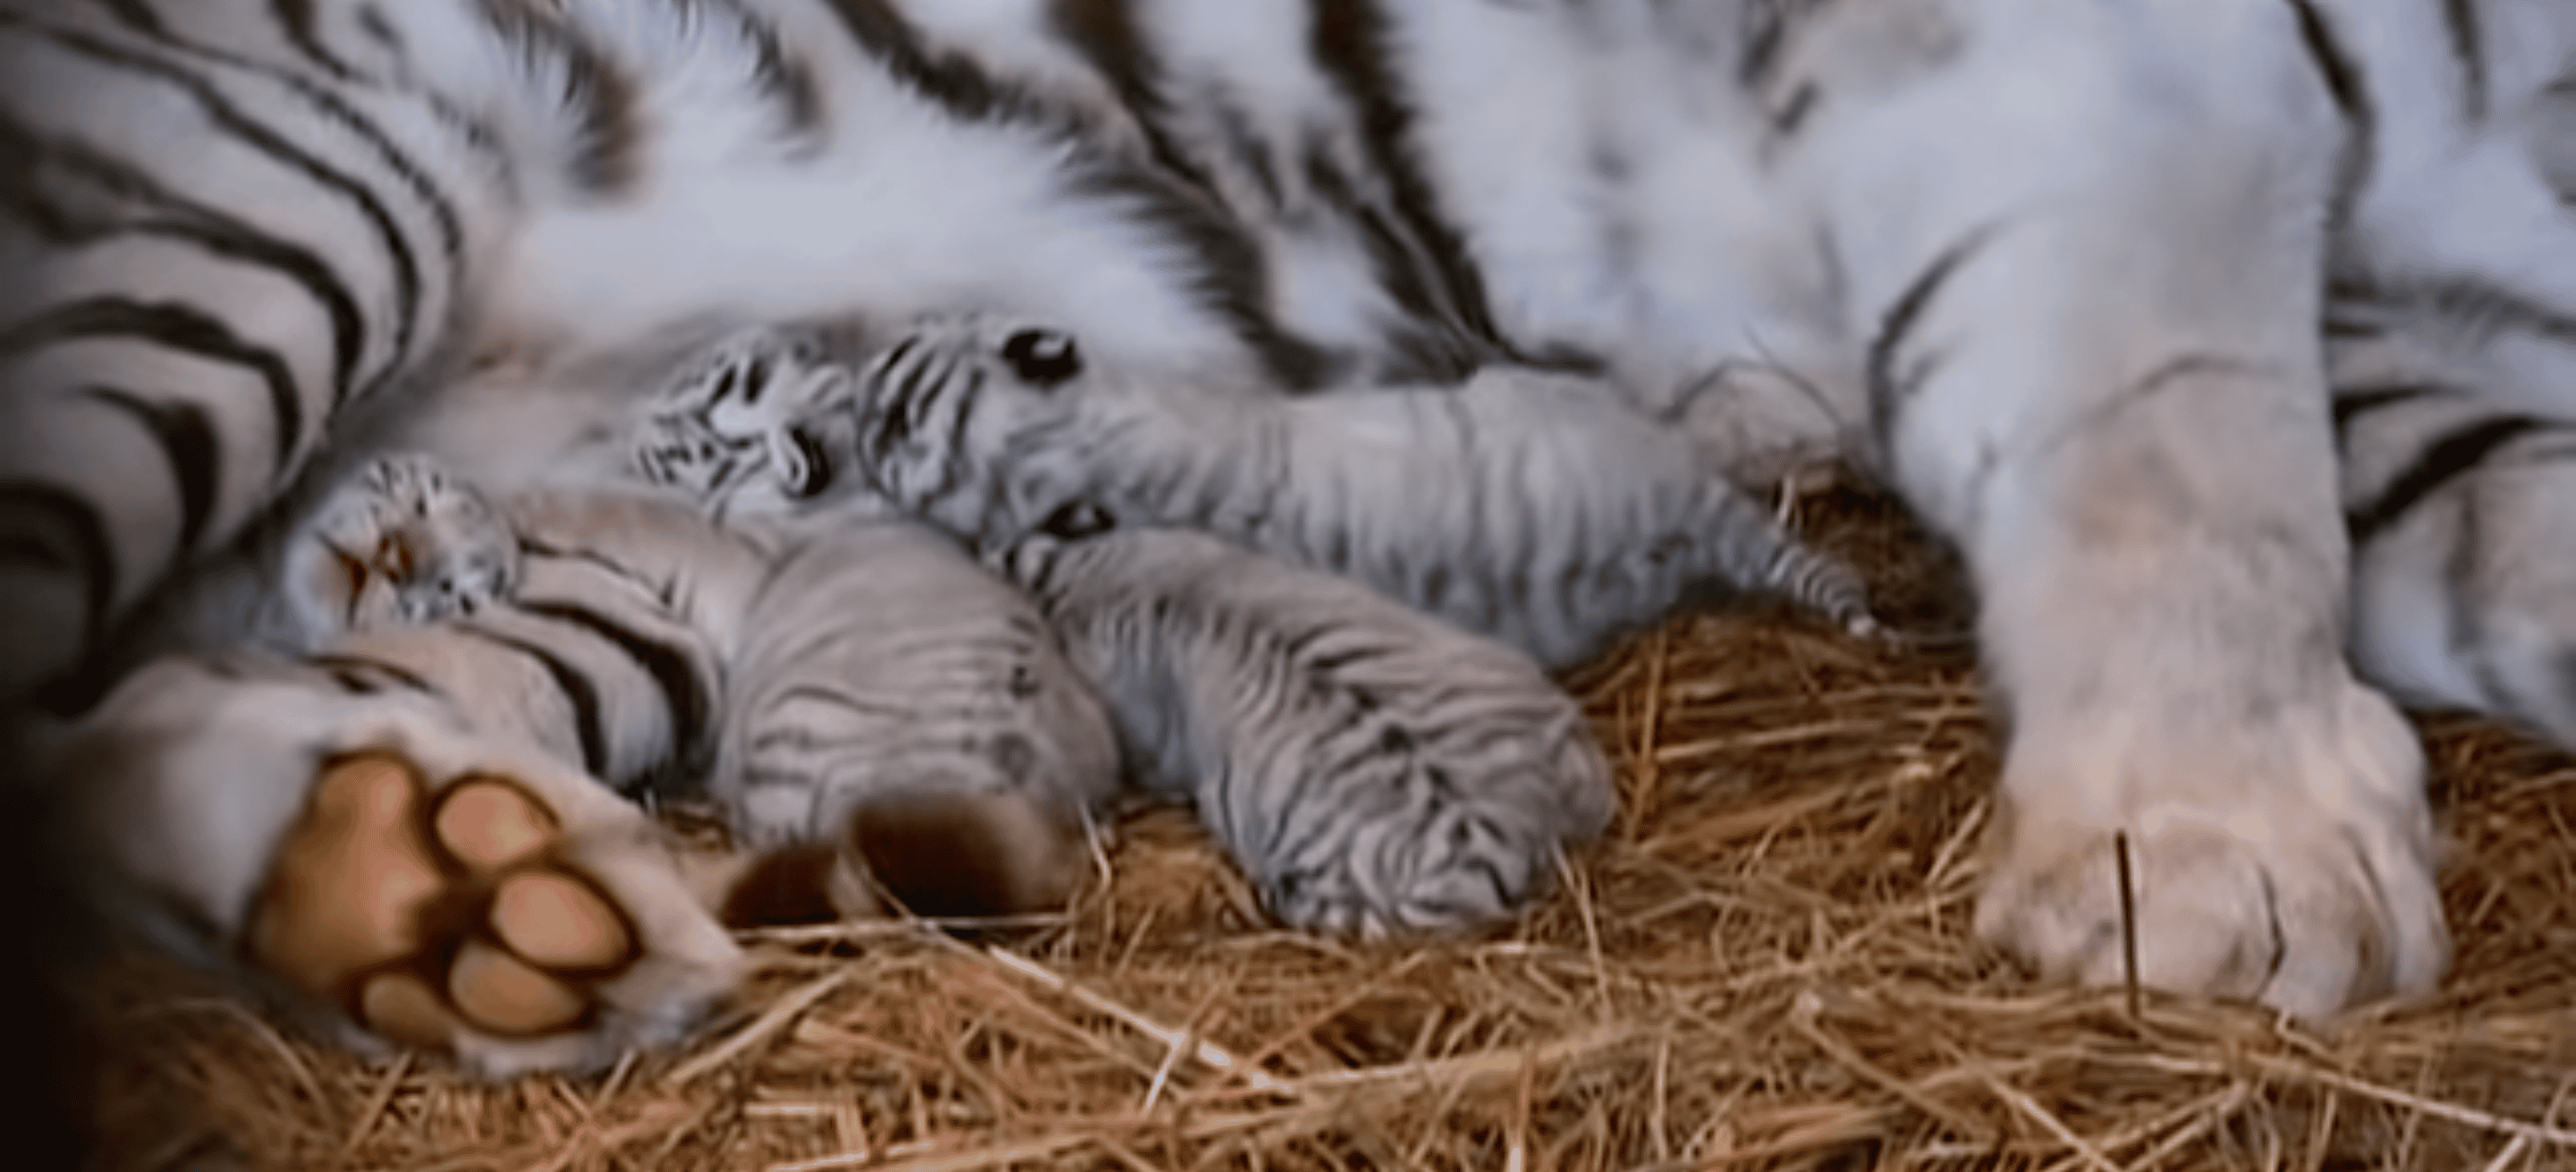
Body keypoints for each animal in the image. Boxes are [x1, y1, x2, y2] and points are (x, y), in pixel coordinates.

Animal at [4, 0, 2575, 1068]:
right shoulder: (2060, 96)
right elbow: (2166, 410)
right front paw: (2220, 845)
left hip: (603, 598)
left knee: (172, 716)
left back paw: (439, 895)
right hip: (279, 217)